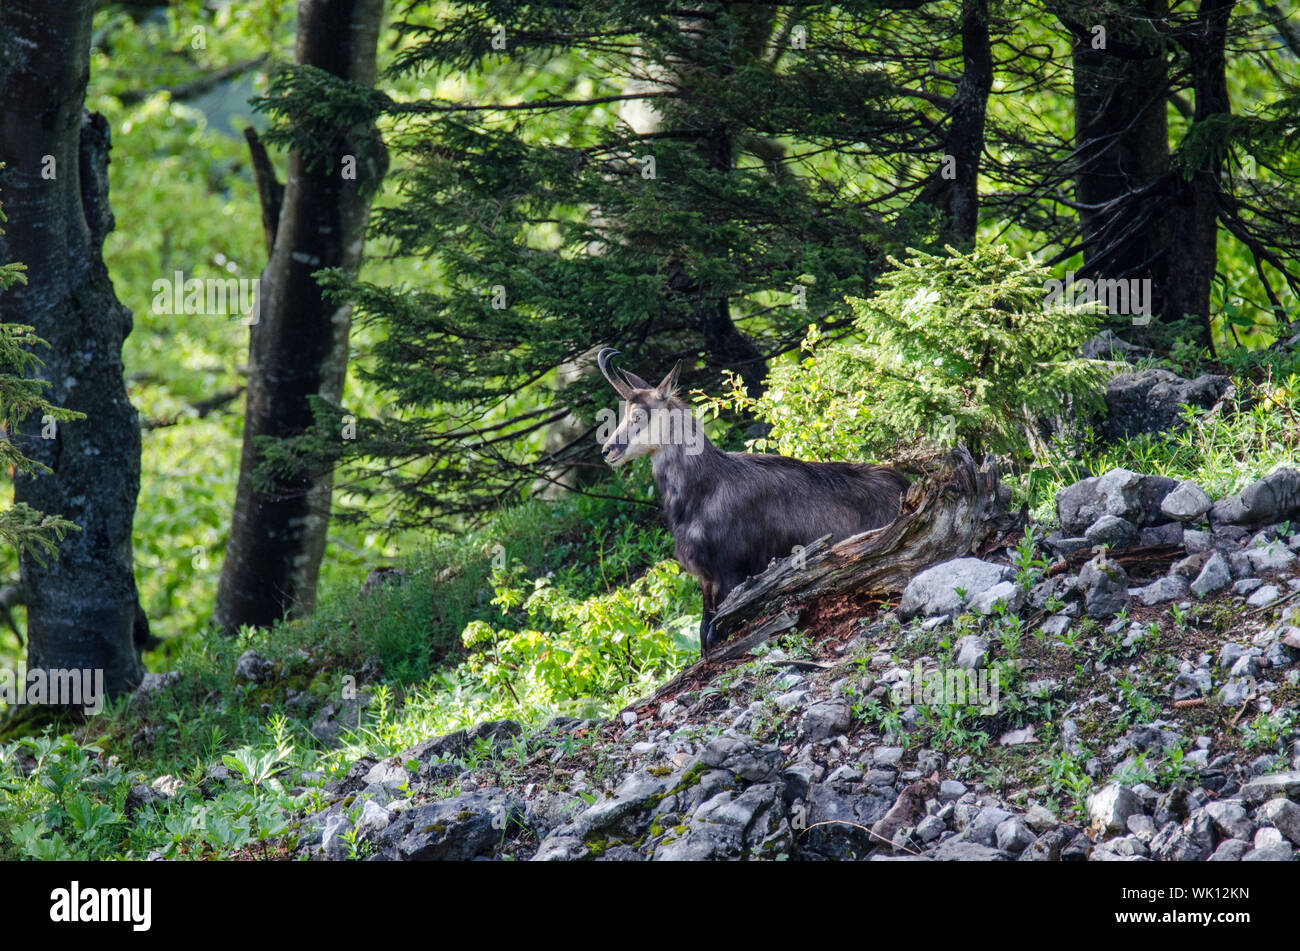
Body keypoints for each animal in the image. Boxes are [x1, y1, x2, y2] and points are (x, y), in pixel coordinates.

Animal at [596, 348, 908, 656]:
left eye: (638, 416)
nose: (607, 450)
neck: (704, 490)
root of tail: (905, 484)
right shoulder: (706, 578)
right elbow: (702, 635)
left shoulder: (732, 573)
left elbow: (713, 636)